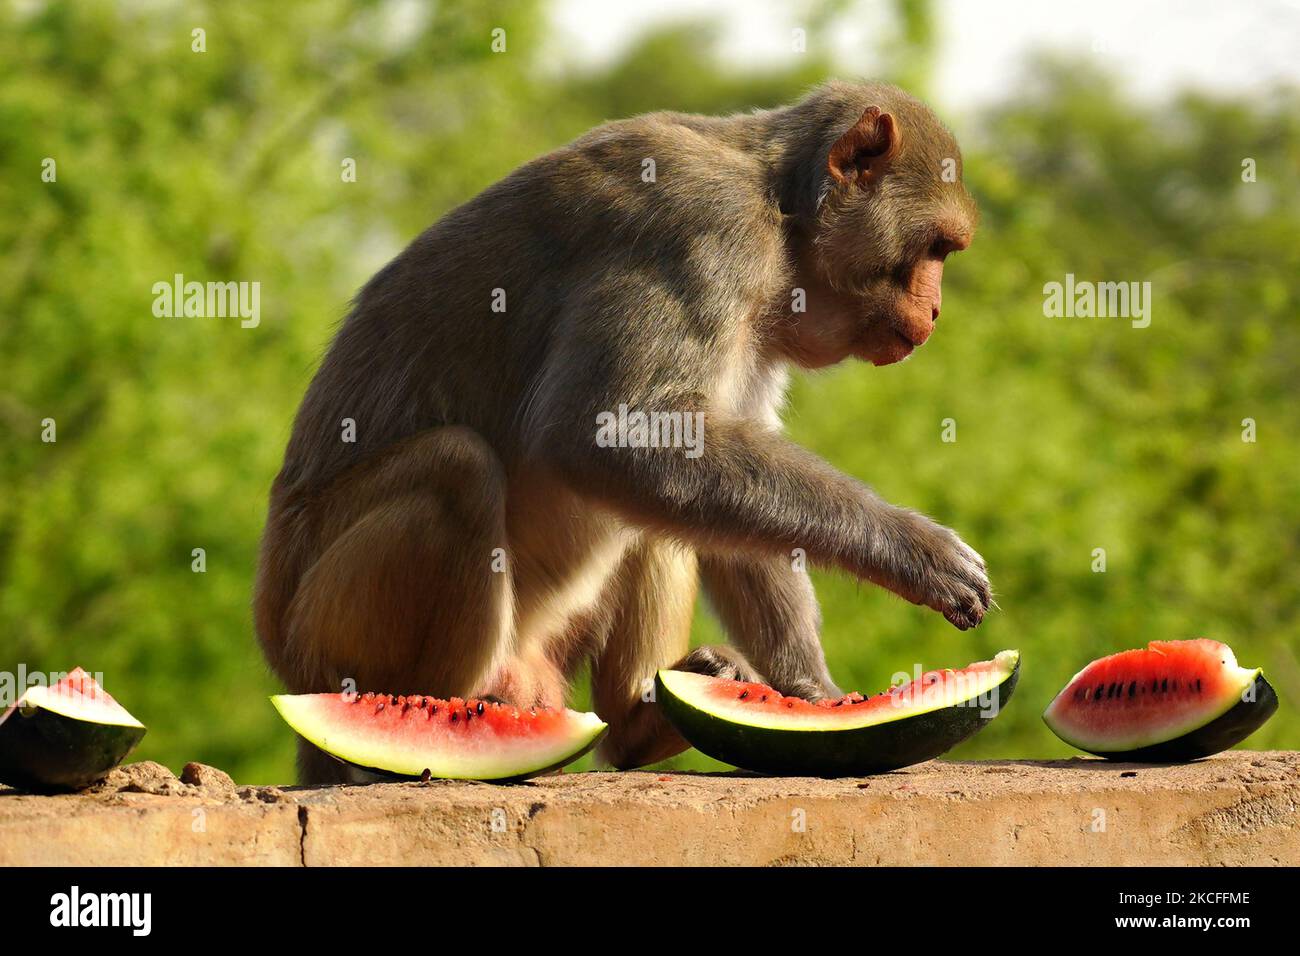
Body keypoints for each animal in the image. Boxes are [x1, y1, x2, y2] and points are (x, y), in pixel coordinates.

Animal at [253, 80, 990, 783]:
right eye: (936, 247)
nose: (935, 309)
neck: (779, 218)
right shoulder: (701, 228)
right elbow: (607, 433)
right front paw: (911, 547)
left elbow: (714, 472)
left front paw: (812, 692)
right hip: (316, 633)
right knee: (458, 467)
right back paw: (429, 724)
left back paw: (639, 723)